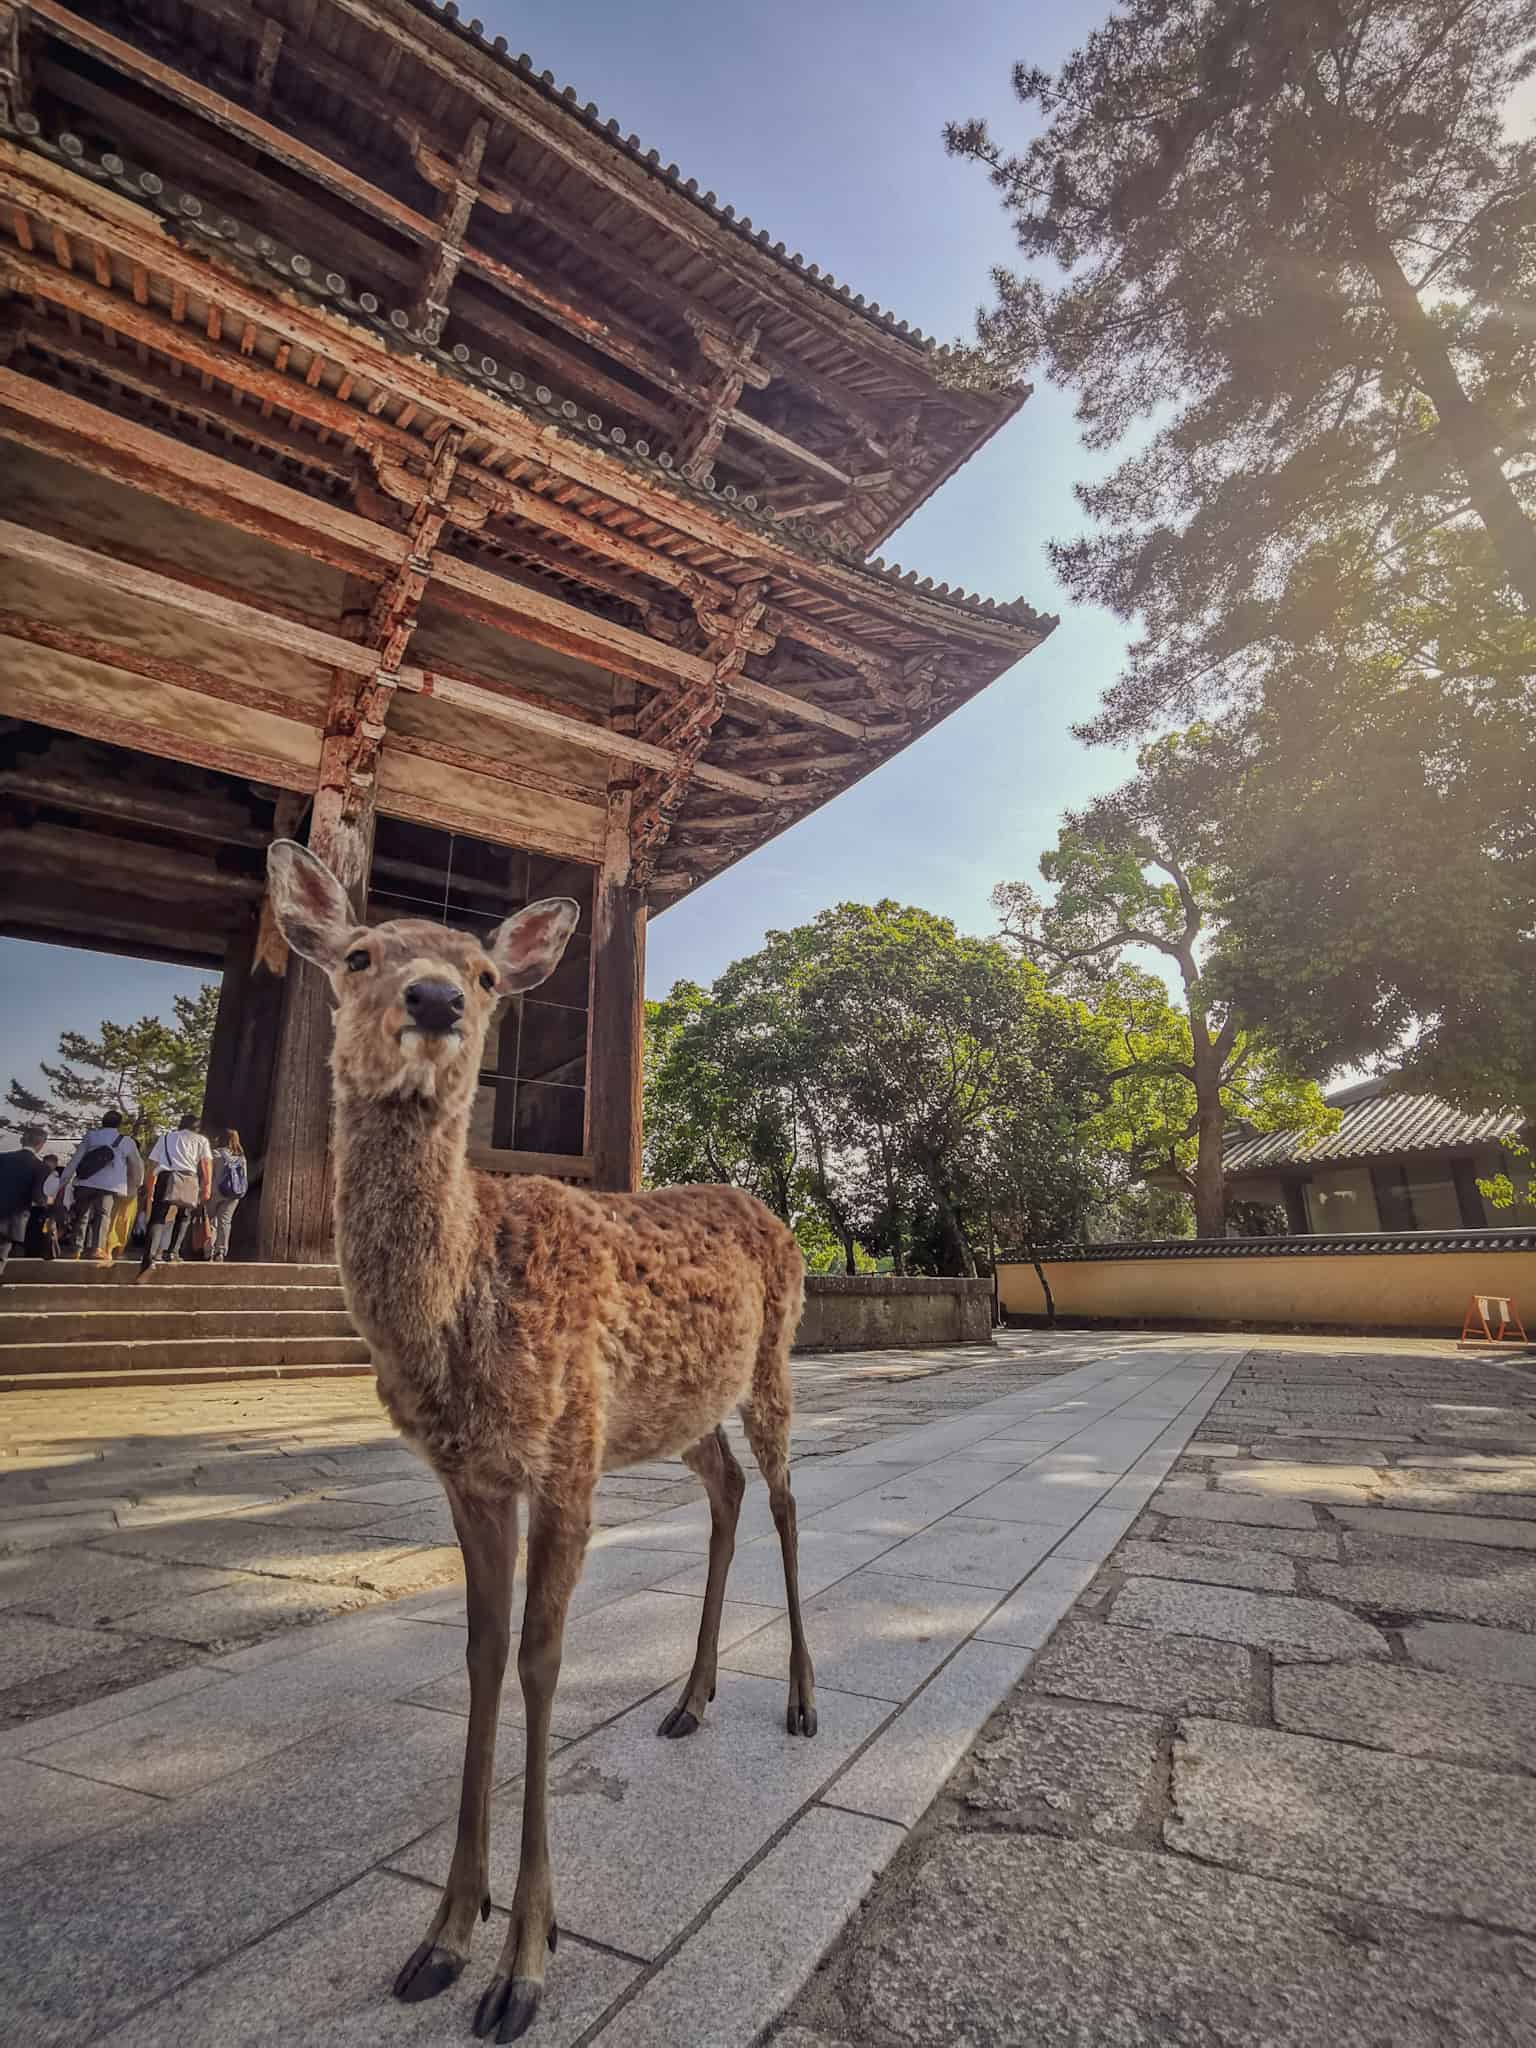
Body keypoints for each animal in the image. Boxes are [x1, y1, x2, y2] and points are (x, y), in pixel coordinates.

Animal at [265, 840, 816, 2044]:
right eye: (360, 952)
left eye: (483, 974)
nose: (431, 1001)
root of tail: (777, 1212)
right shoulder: (471, 1476)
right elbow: (478, 1655)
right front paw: (442, 1934)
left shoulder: (564, 1454)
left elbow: (540, 1660)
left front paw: (524, 1958)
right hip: (670, 1411)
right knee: (726, 1486)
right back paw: (690, 1698)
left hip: (770, 1366)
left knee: (787, 1497)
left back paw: (802, 1699)